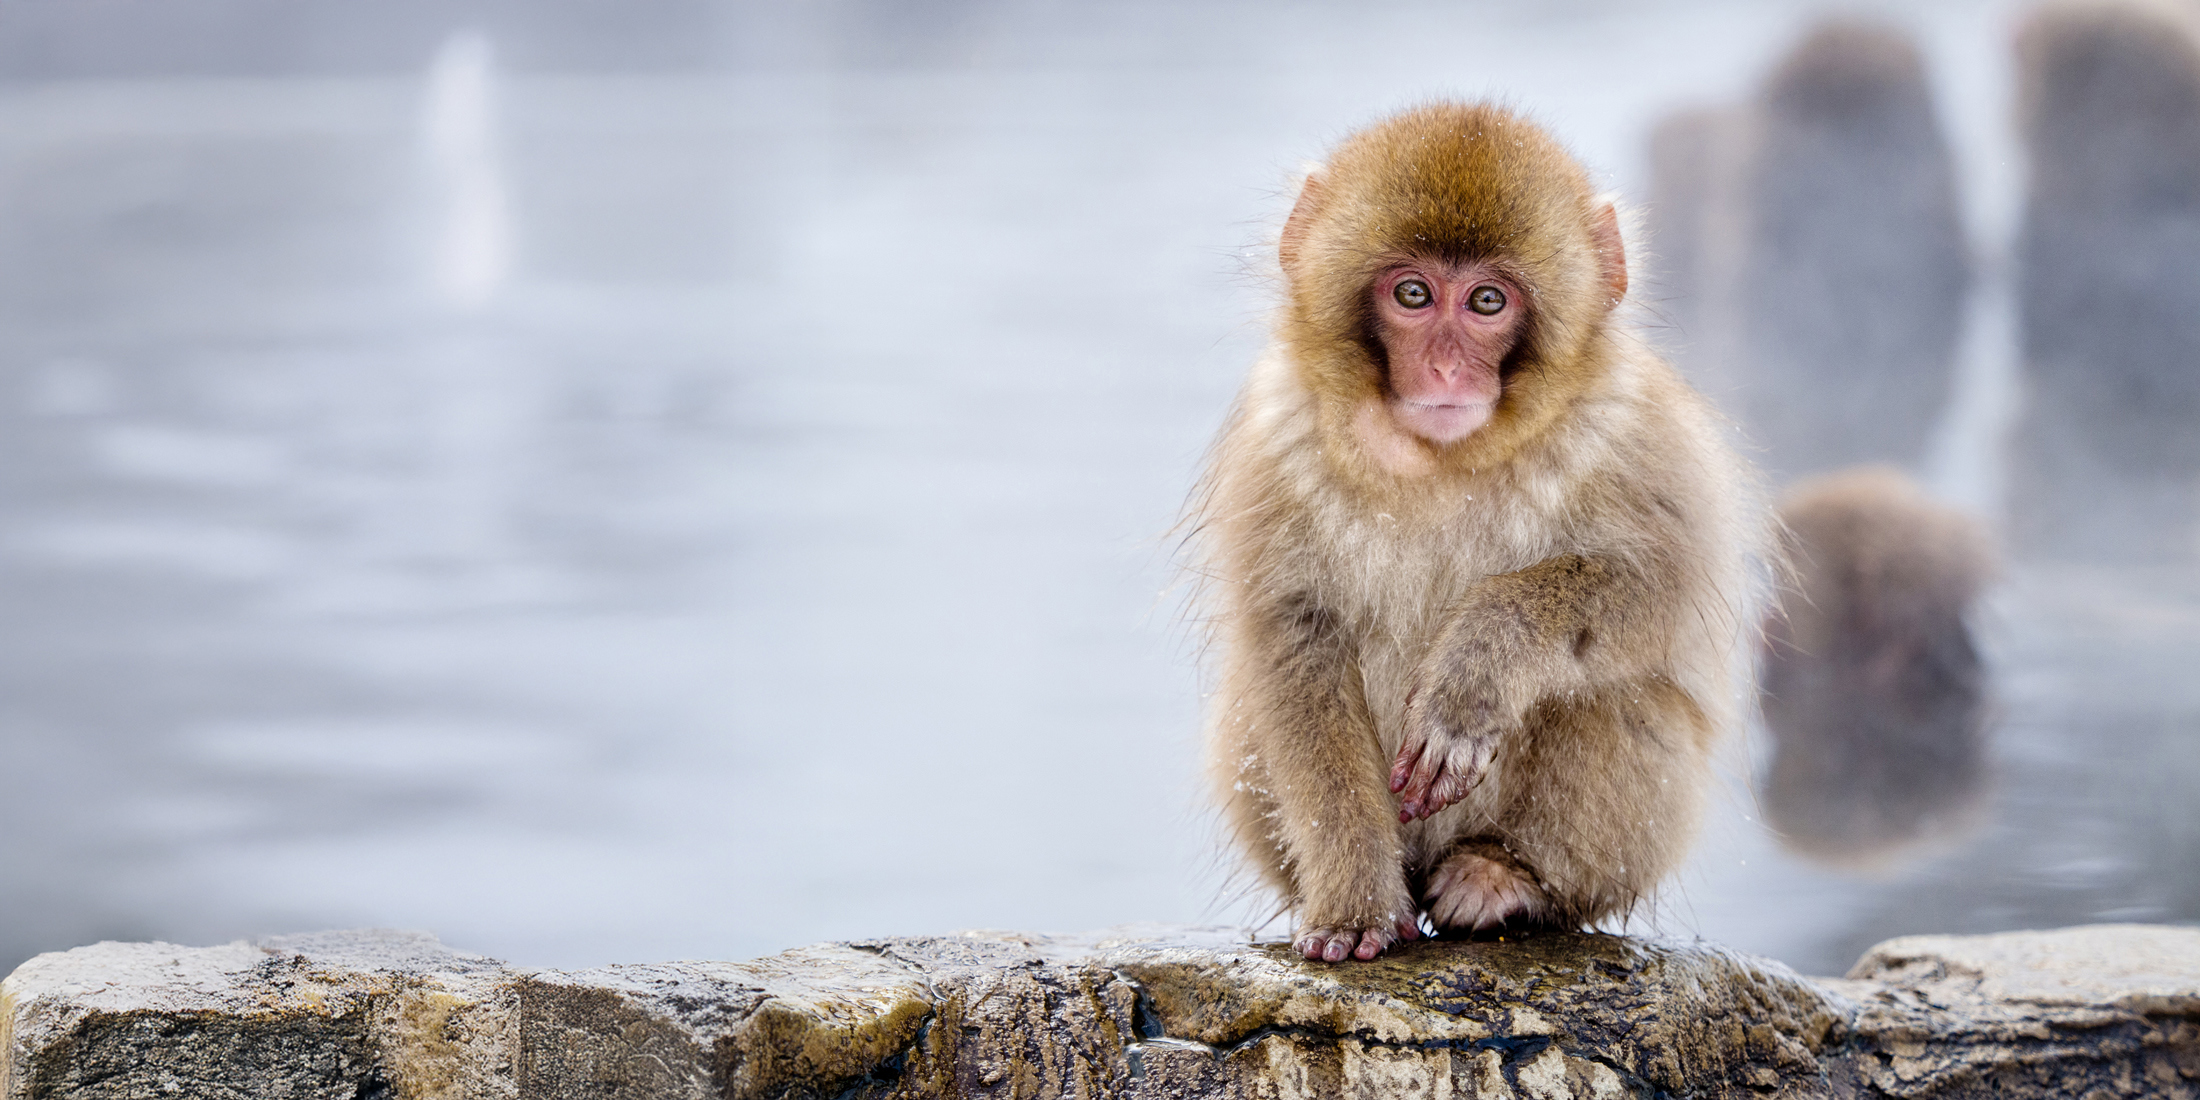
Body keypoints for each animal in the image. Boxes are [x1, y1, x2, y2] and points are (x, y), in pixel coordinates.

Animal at [1192, 103, 1769, 962]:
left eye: (1487, 303)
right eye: (1413, 293)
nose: (1443, 369)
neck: (1444, 461)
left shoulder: (1636, 429)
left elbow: (1666, 591)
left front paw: (1478, 666)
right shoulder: (1277, 442)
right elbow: (1295, 649)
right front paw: (1352, 898)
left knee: (1617, 693)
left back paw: (1505, 879)